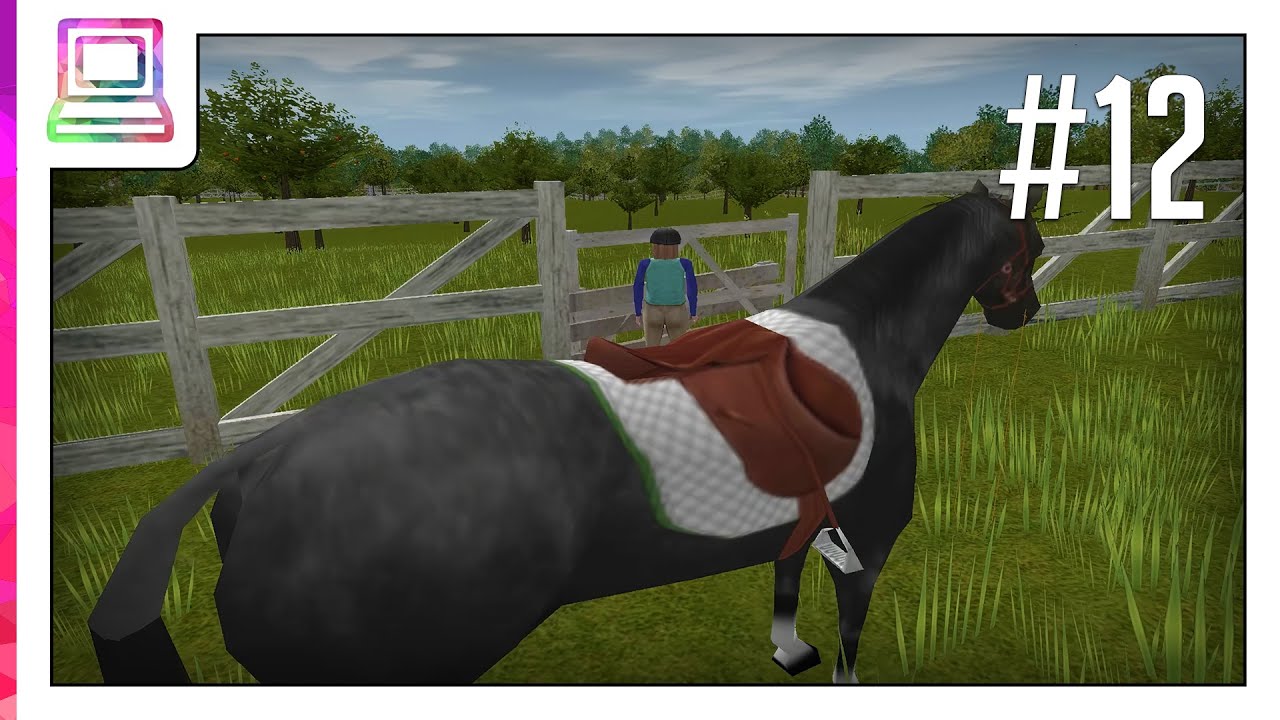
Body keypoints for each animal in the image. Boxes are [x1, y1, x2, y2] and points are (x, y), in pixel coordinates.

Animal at [87, 180, 1046, 685]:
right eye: (1028, 246)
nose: (1024, 312)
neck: (861, 350)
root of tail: (258, 461)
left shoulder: (808, 522)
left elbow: (783, 588)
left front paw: (786, 650)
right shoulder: (870, 545)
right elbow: (848, 636)